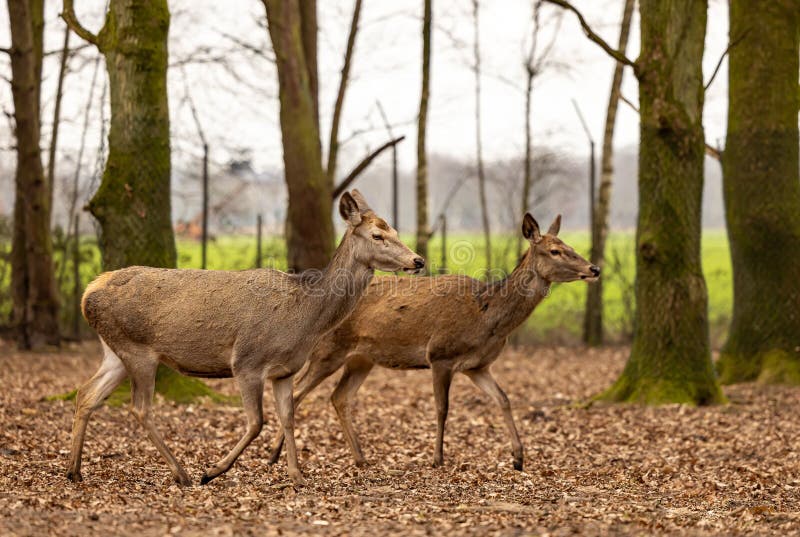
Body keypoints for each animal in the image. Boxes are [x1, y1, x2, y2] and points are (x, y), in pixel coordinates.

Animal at [65, 190, 424, 487]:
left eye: (395, 231)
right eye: (378, 234)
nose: (418, 260)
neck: (304, 319)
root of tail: (87, 292)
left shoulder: (284, 371)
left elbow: (288, 416)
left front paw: (297, 476)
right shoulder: (247, 362)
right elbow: (256, 422)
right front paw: (212, 471)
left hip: (115, 351)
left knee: (87, 394)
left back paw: (74, 470)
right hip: (136, 349)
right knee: (140, 409)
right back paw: (182, 473)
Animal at [267, 212, 599, 471]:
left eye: (569, 246)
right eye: (555, 251)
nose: (594, 268)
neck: (487, 318)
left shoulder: (478, 366)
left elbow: (503, 399)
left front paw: (518, 458)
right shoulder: (441, 354)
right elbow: (442, 408)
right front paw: (438, 458)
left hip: (362, 358)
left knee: (339, 396)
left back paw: (361, 458)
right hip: (328, 349)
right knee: (298, 391)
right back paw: (273, 455)